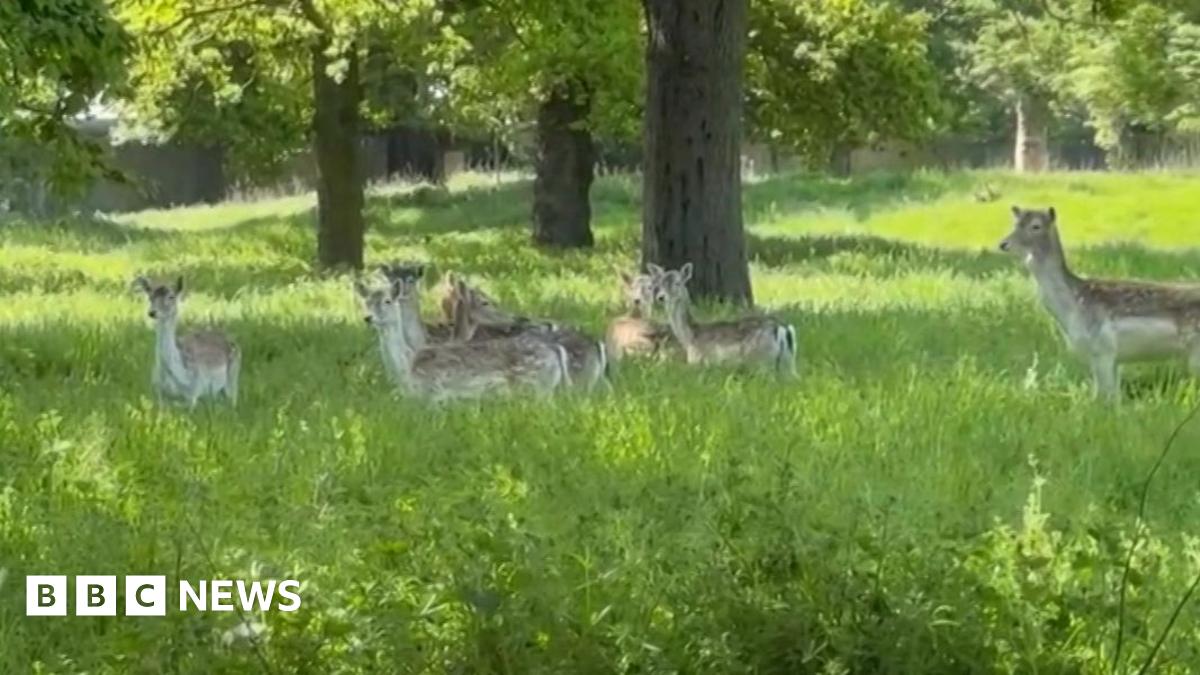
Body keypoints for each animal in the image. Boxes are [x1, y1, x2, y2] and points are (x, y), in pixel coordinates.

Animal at [133, 275, 240, 408]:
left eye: (171, 296)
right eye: (150, 296)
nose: (152, 312)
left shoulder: (194, 392)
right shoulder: (156, 392)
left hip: (233, 378)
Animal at [356, 276, 571, 402]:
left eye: (387, 301)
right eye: (366, 302)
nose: (368, 317)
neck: (406, 368)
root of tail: (555, 350)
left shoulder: (434, 395)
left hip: (538, 387)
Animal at [651, 262, 797, 376]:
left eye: (677, 283)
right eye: (659, 283)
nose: (661, 297)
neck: (690, 338)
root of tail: (782, 328)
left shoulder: (701, 363)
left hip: (762, 361)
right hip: (788, 362)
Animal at [1001, 206, 1200, 400]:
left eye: (1036, 226)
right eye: (1015, 224)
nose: (1003, 244)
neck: (1071, 309)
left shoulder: (1103, 351)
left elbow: (1103, 399)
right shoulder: (1112, 359)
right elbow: (1112, 398)